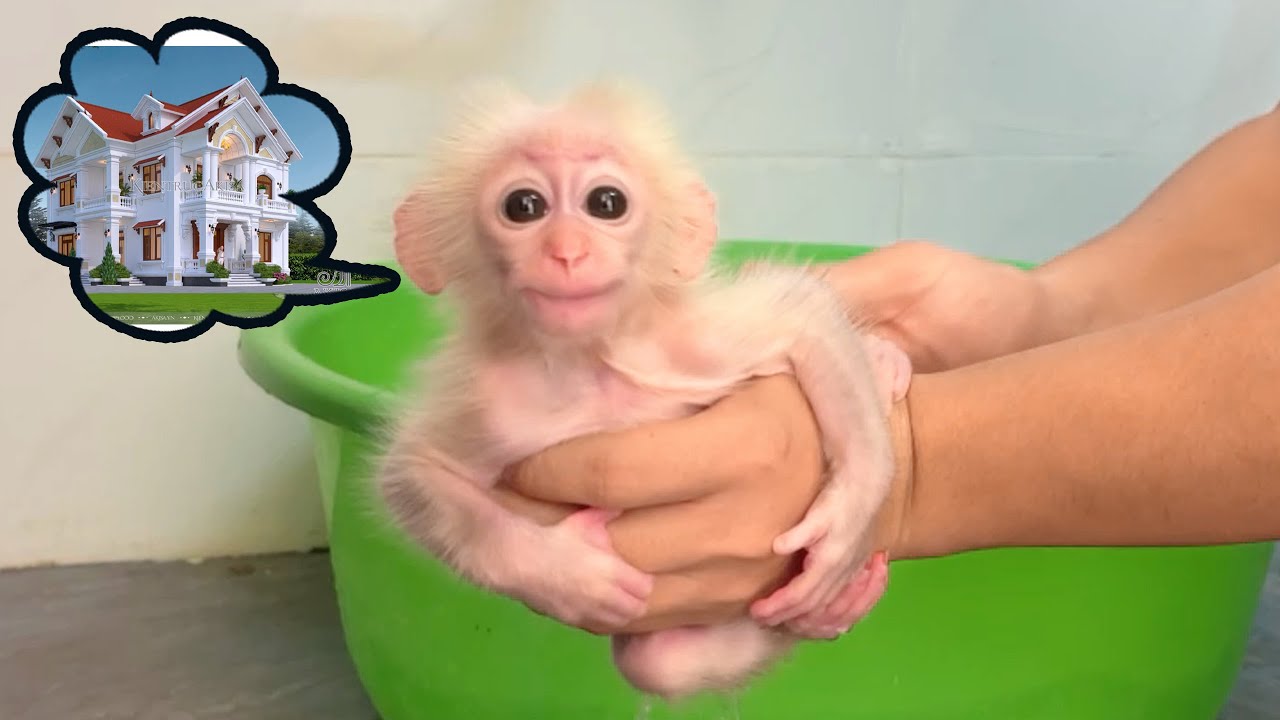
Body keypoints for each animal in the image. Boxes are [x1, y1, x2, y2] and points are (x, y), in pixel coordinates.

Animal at [378, 80, 912, 700]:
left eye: (606, 203)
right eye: (523, 207)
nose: (567, 251)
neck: (591, 366)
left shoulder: (689, 346)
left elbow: (805, 316)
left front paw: (844, 531)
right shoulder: (494, 404)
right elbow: (412, 476)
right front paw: (568, 577)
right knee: (660, 664)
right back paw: (824, 616)